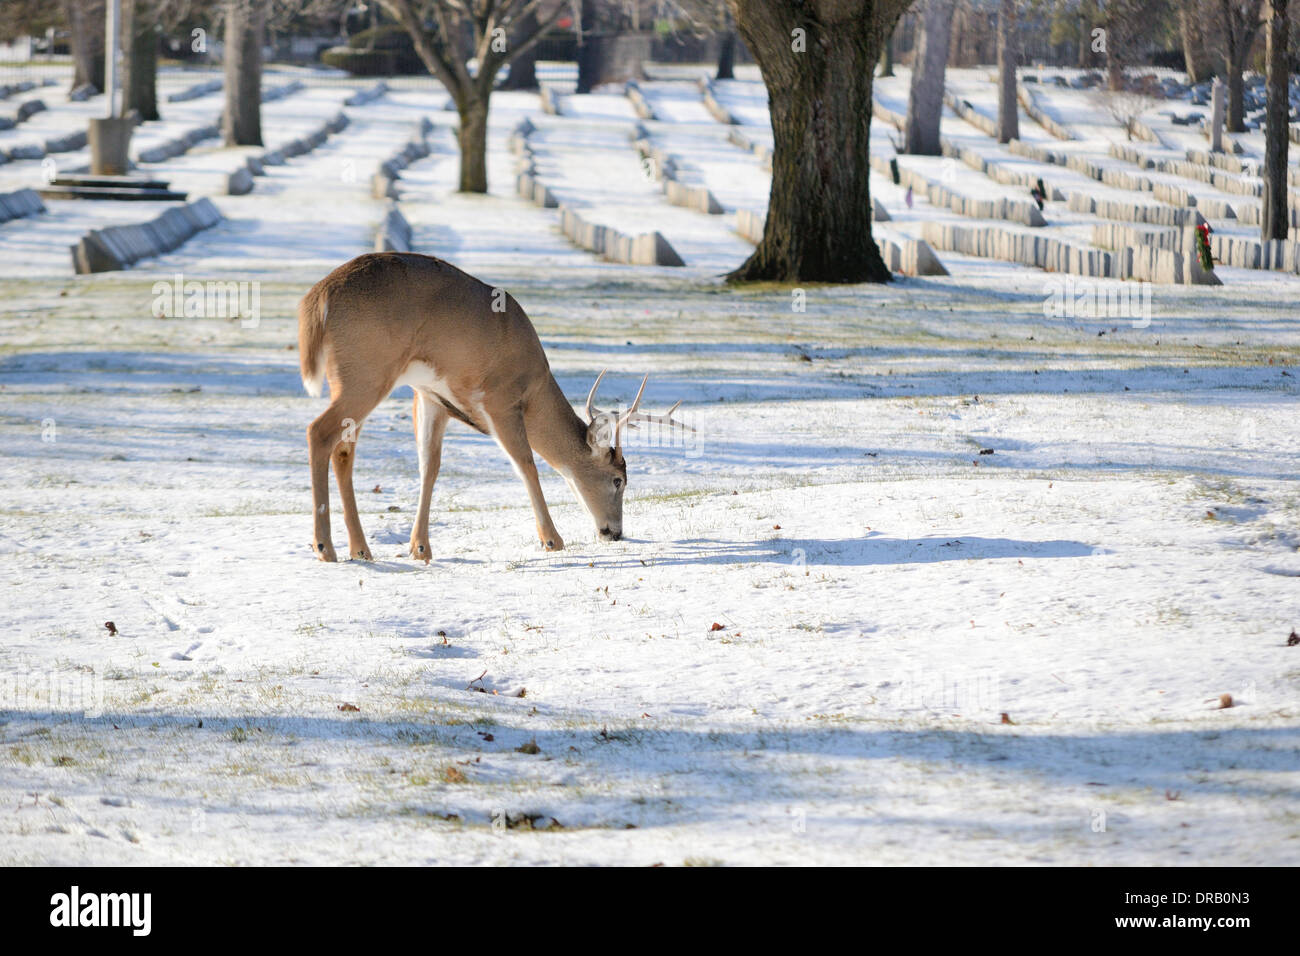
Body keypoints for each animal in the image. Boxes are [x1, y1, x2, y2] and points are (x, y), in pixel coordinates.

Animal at [297, 252, 690, 563]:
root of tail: (318, 297)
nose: (615, 532)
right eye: (618, 480)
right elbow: (525, 463)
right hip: (367, 370)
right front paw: (553, 540)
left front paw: (420, 547)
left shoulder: (430, 395)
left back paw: (361, 548)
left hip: (357, 377)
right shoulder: (499, 397)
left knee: (344, 450)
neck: (535, 385)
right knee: (318, 431)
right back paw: (325, 547)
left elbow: (429, 466)